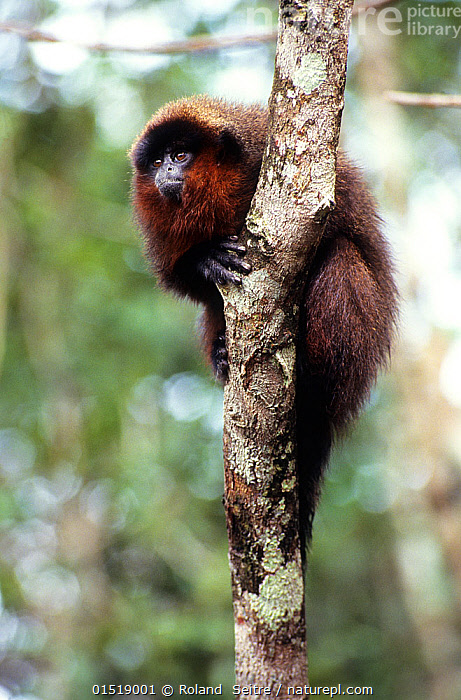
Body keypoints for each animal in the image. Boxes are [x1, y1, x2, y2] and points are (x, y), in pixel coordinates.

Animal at [129, 95, 398, 547]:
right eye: (157, 162)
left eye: (181, 156)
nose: (166, 172)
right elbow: (182, 279)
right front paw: (205, 259)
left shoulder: (268, 164)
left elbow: (331, 230)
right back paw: (224, 355)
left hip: (359, 349)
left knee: (341, 258)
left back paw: (310, 372)